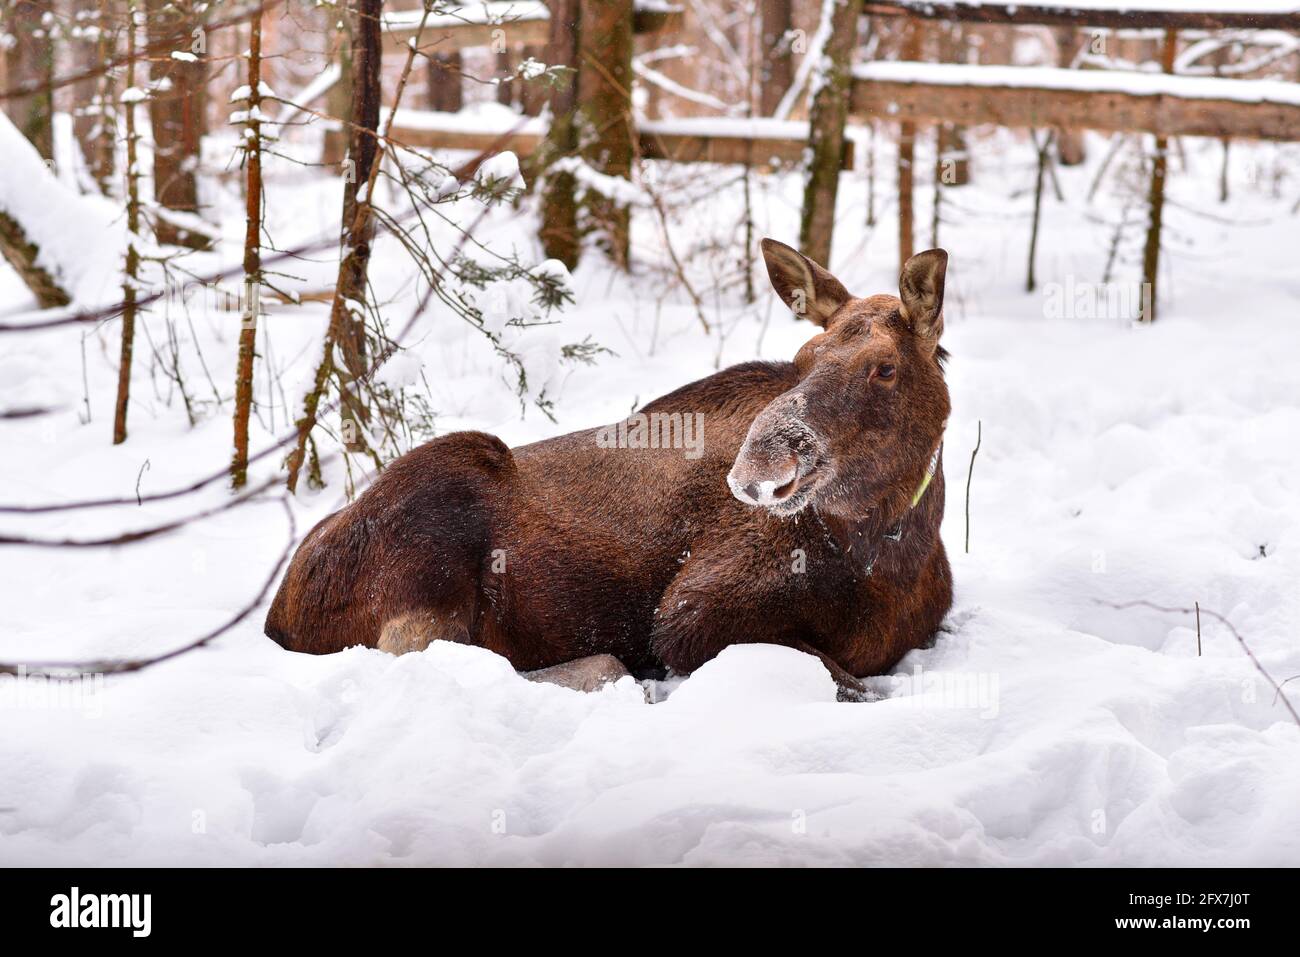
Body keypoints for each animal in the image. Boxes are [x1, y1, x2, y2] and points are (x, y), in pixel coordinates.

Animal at [265, 239, 953, 700]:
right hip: (444, 502)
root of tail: (280, 611)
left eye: (885, 367)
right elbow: (842, 677)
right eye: (803, 358)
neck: (889, 548)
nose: (756, 468)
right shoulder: (687, 615)